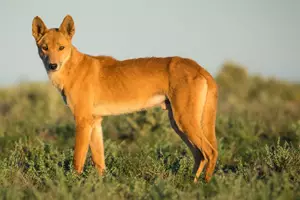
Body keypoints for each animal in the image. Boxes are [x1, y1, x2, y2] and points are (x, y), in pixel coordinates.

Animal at [31, 14, 218, 182]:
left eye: (61, 48)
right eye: (45, 47)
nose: (53, 65)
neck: (72, 69)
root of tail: (200, 67)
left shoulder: (82, 121)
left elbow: (78, 160)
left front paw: (74, 185)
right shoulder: (95, 122)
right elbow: (99, 162)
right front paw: (100, 185)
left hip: (184, 121)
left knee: (210, 152)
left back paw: (207, 186)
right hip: (178, 124)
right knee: (199, 155)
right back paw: (191, 183)